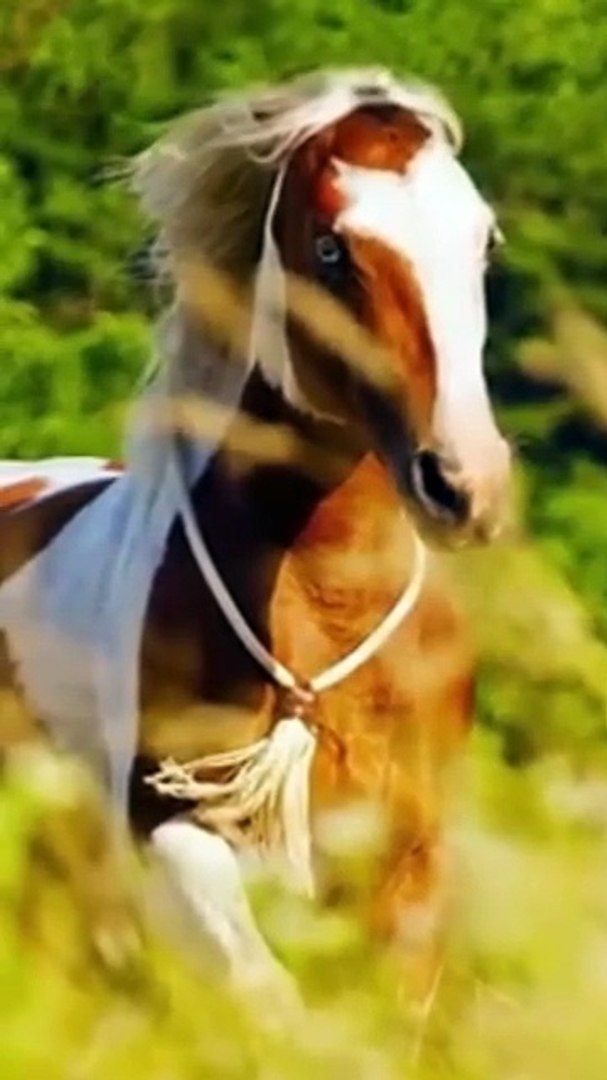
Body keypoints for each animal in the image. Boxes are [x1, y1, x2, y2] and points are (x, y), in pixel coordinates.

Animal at [0, 67, 511, 1011]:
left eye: (482, 242)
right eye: (331, 249)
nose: (464, 486)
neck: (326, 609)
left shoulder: (411, 858)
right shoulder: (172, 837)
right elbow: (268, 998)